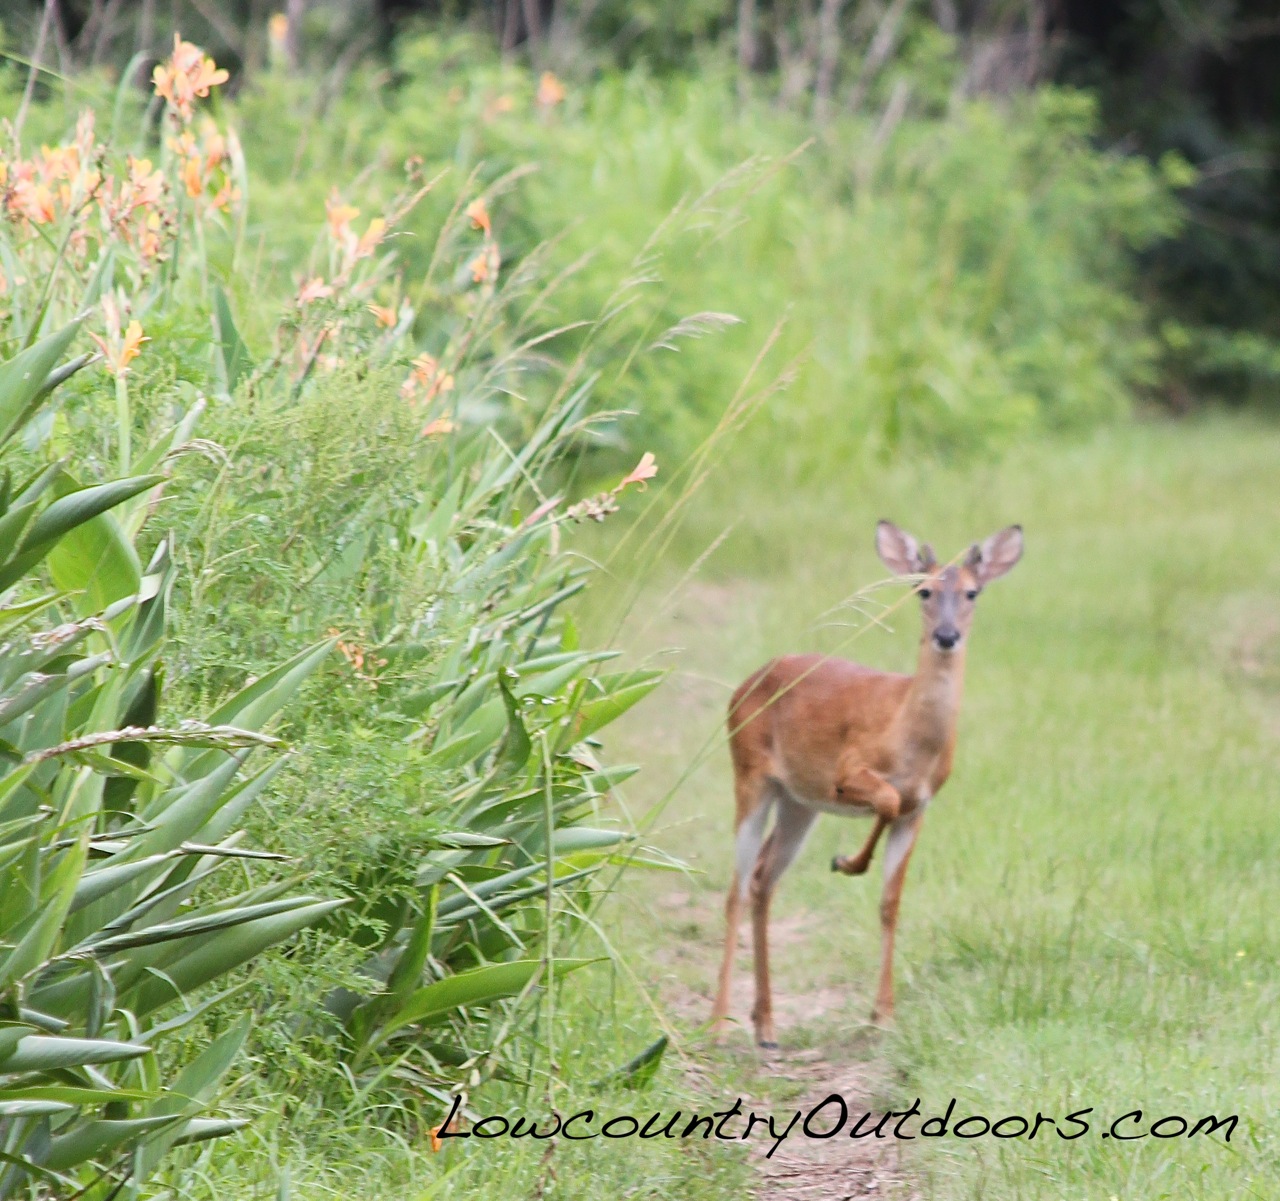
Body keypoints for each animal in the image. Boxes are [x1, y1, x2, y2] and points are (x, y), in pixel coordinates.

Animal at [709, 520, 1023, 1048]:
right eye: (923, 590)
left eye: (972, 592)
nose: (946, 635)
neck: (910, 739)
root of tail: (744, 683)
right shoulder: (848, 771)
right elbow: (886, 799)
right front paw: (847, 861)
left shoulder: (921, 808)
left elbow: (889, 903)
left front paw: (884, 1016)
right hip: (750, 774)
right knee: (736, 890)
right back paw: (717, 1025)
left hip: (799, 802)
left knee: (763, 879)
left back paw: (766, 1023)